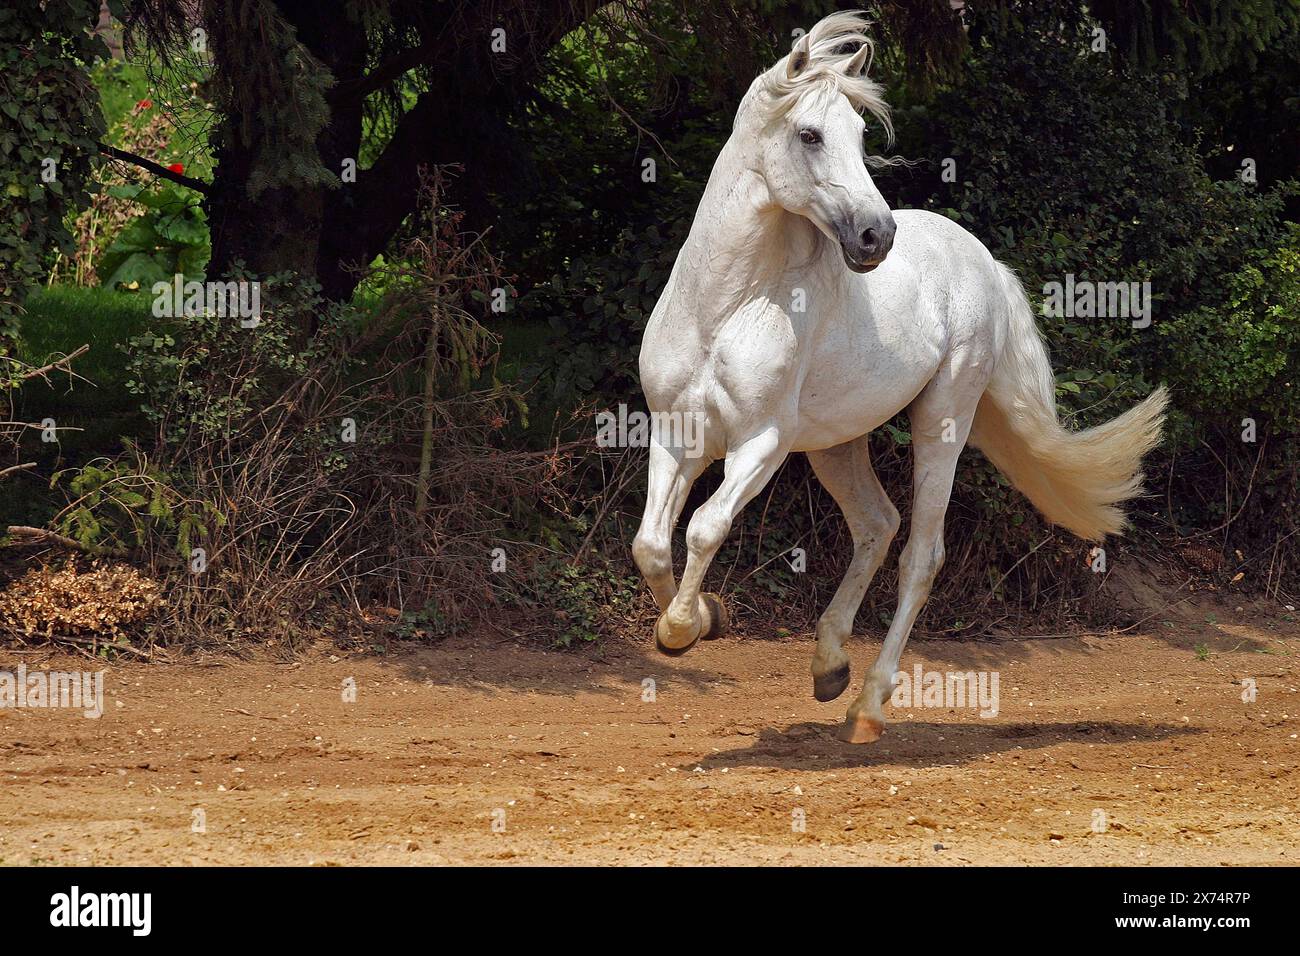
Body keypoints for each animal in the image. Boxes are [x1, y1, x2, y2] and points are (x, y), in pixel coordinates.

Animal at [632, 11, 1167, 744]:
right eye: (808, 134)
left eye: (862, 136)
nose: (874, 237)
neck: (728, 306)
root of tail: (984, 263)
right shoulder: (676, 434)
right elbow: (652, 544)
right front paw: (696, 623)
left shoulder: (761, 443)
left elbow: (704, 528)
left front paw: (687, 626)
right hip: (836, 444)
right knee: (877, 525)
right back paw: (830, 668)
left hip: (942, 418)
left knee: (920, 553)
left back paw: (867, 706)